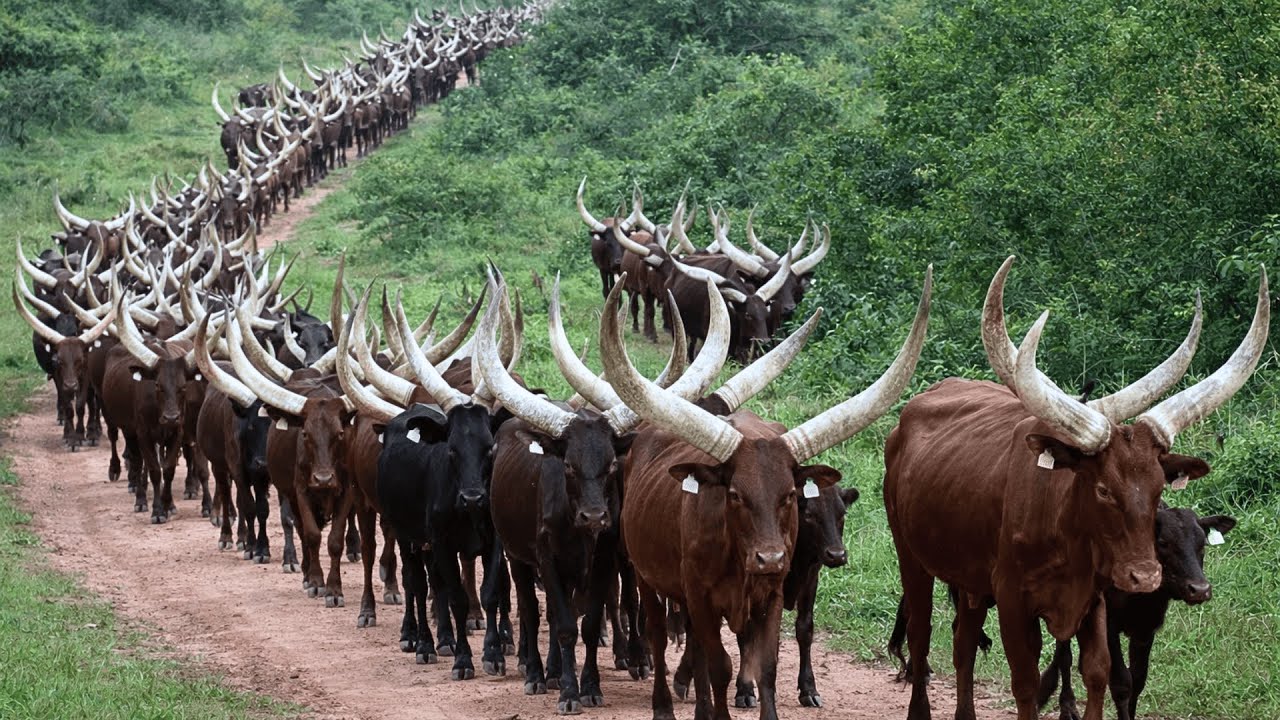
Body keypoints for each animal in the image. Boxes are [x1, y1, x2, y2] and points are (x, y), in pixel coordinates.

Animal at [602, 270, 931, 720]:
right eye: (735, 495)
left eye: (790, 496)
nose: (770, 558)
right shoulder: (702, 597)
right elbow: (719, 665)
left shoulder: (769, 595)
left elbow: (767, 664)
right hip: (647, 577)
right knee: (655, 631)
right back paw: (664, 705)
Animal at [882, 257, 1267, 720]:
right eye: (1102, 489)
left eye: (1159, 488)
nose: (1144, 576)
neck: (1062, 530)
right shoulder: (1013, 601)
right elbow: (1026, 682)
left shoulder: (1095, 602)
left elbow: (1098, 673)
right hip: (911, 557)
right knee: (921, 636)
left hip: (970, 579)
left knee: (963, 645)